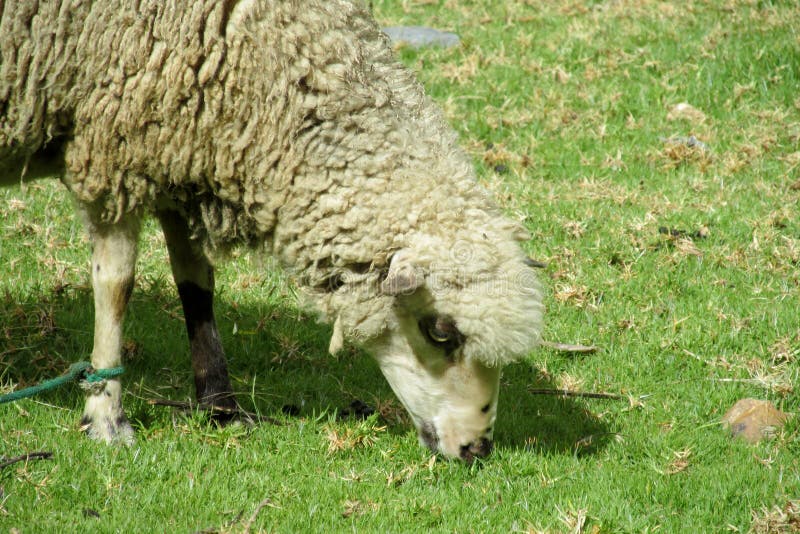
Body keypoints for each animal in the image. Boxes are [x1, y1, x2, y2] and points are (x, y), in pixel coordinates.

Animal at [0, 0, 543, 461]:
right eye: (440, 331)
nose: (477, 449)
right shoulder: (113, 152)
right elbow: (116, 287)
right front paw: (106, 416)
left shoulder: (179, 148)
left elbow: (195, 280)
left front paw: (221, 405)